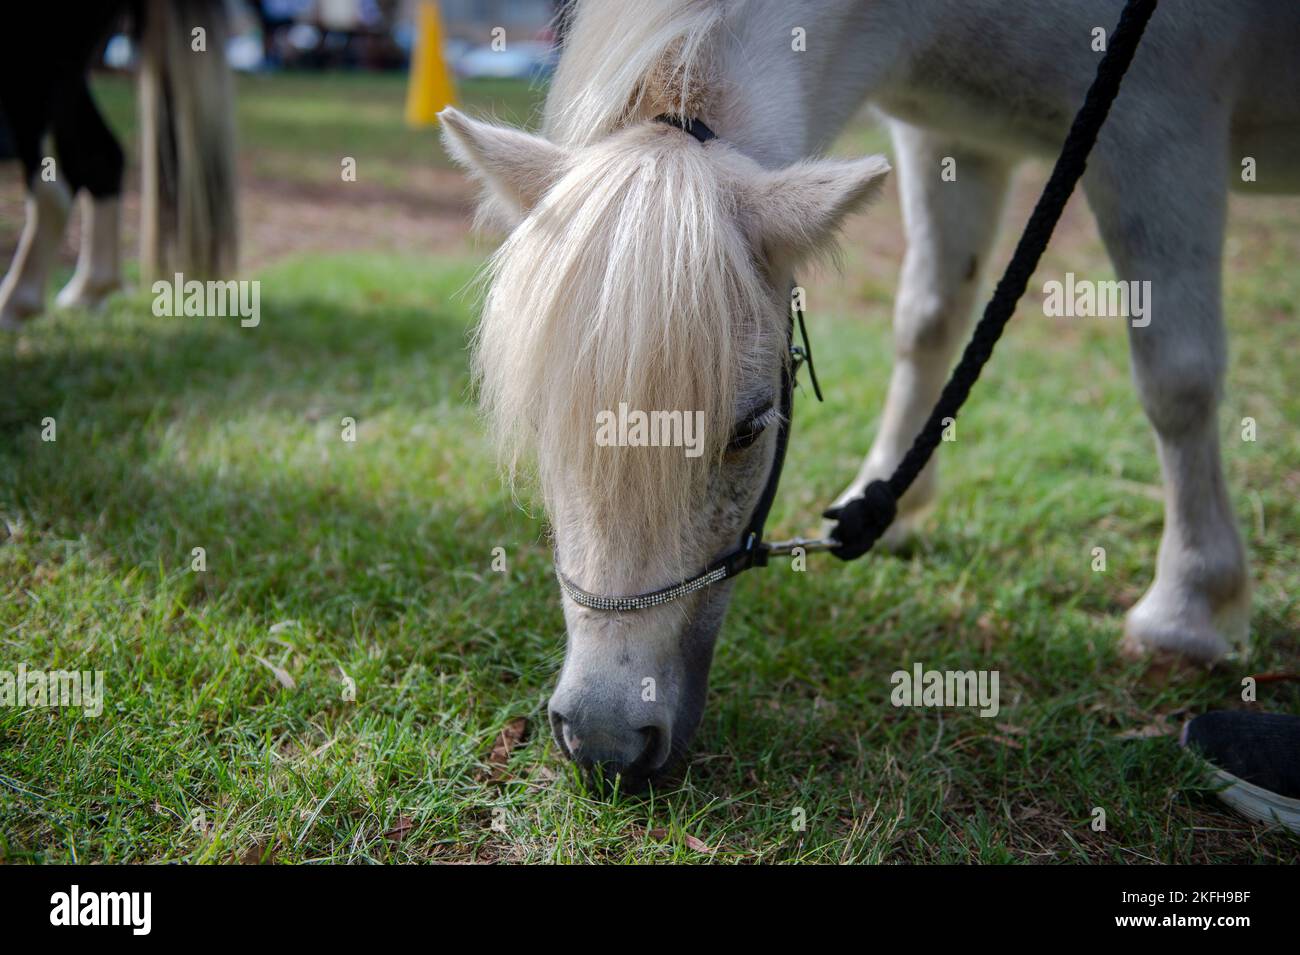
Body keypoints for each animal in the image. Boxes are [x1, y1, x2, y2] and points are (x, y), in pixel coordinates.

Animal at [441, 0, 1300, 790]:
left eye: (749, 430)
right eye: (543, 427)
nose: (604, 738)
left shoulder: (1158, 128)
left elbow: (1175, 376)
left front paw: (1187, 607)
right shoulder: (952, 142)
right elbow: (928, 318)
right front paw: (890, 497)